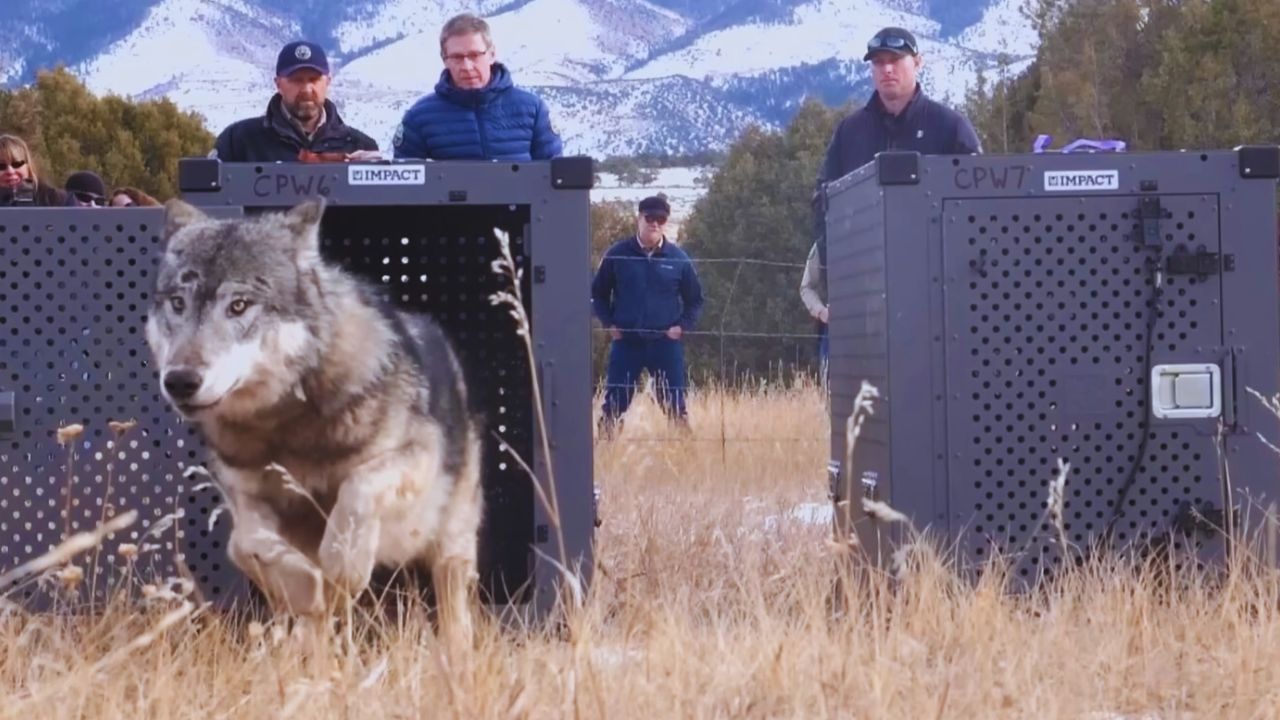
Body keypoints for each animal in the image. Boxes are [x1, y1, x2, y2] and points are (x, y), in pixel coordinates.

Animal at [146, 197, 483, 642]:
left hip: (450, 546)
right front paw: (306, 586)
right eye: (177, 304)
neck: (286, 426)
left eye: (239, 306)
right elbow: (243, 544)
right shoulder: (244, 495)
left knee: (455, 607)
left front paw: (343, 565)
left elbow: (358, 487)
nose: (180, 381)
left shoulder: (415, 459)